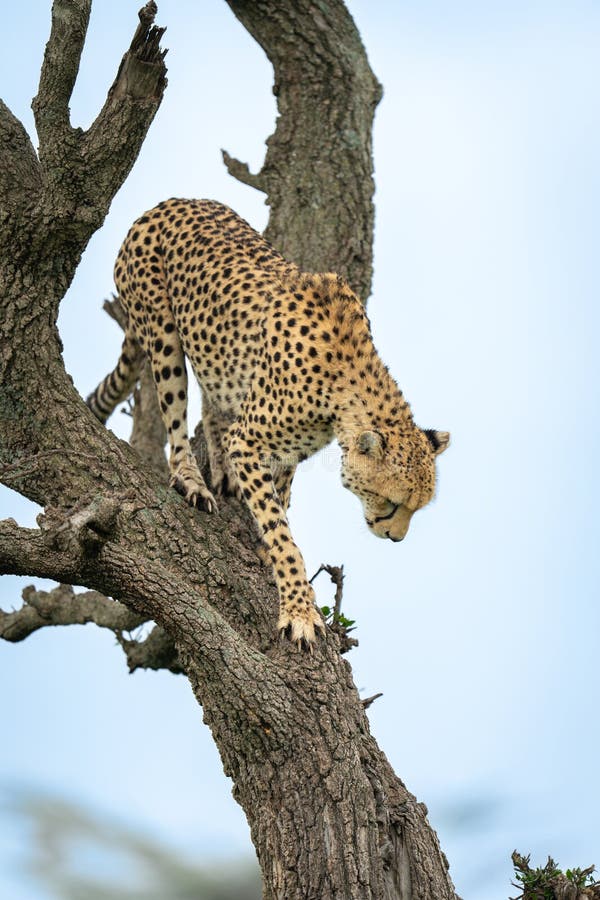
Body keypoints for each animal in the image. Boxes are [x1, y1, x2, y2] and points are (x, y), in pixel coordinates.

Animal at [87, 198, 450, 646]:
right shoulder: (249, 441)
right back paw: (191, 478)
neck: (347, 382)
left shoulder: (289, 448)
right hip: (162, 331)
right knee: (175, 413)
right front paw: (298, 607)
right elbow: (282, 532)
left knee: (212, 400)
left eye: (417, 507)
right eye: (394, 501)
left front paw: (265, 545)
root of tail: (168, 203)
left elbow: (282, 497)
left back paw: (220, 467)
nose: (395, 538)